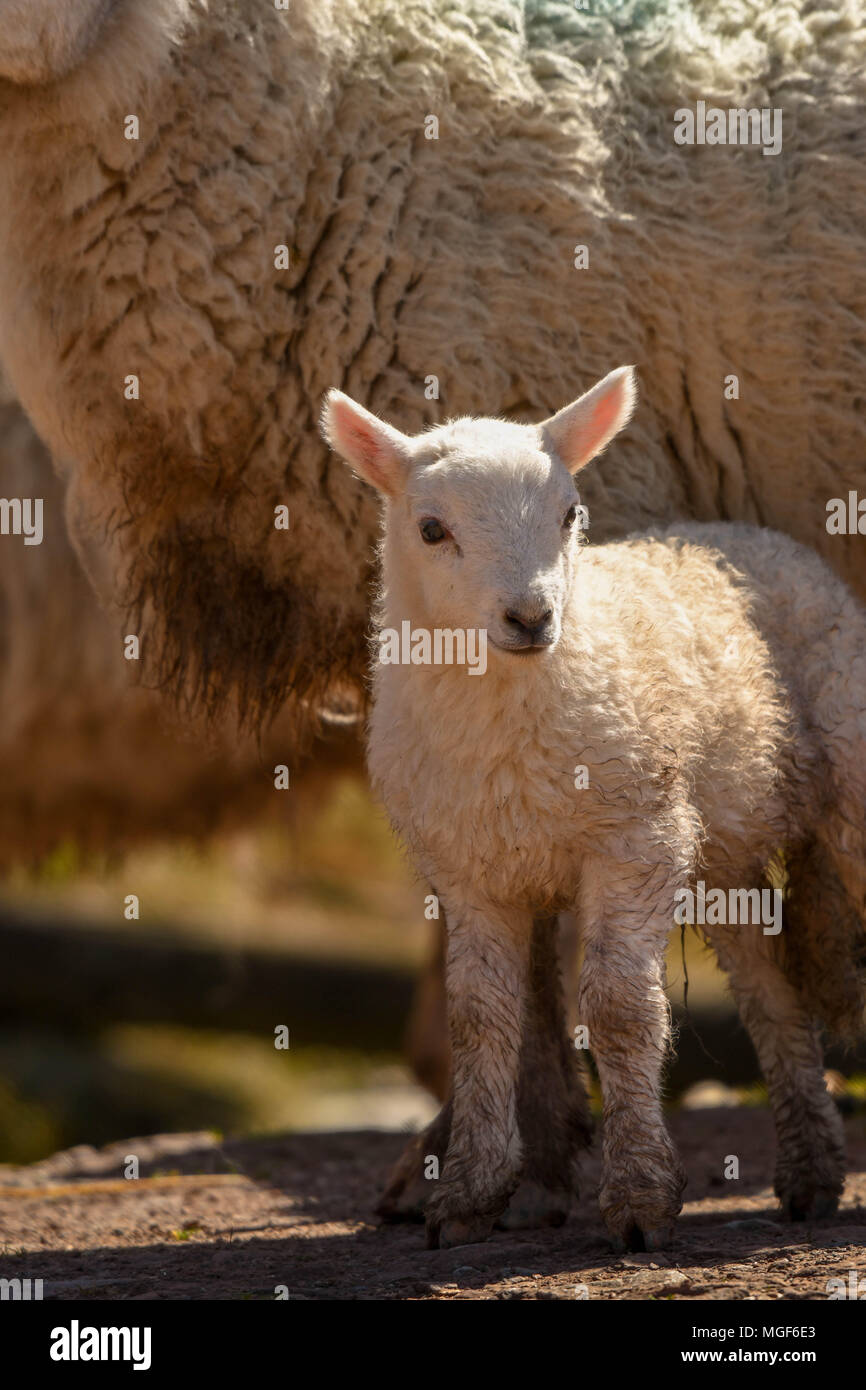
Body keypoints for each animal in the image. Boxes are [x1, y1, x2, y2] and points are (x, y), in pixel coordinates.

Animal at [320, 366, 866, 1251]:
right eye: (431, 529)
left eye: (570, 514)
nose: (531, 617)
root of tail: (742, 534)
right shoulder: (469, 868)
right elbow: (480, 1021)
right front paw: (468, 1196)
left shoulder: (634, 835)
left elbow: (618, 1009)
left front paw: (640, 1198)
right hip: (722, 843)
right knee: (769, 991)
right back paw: (810, 1172)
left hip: (842, 764)